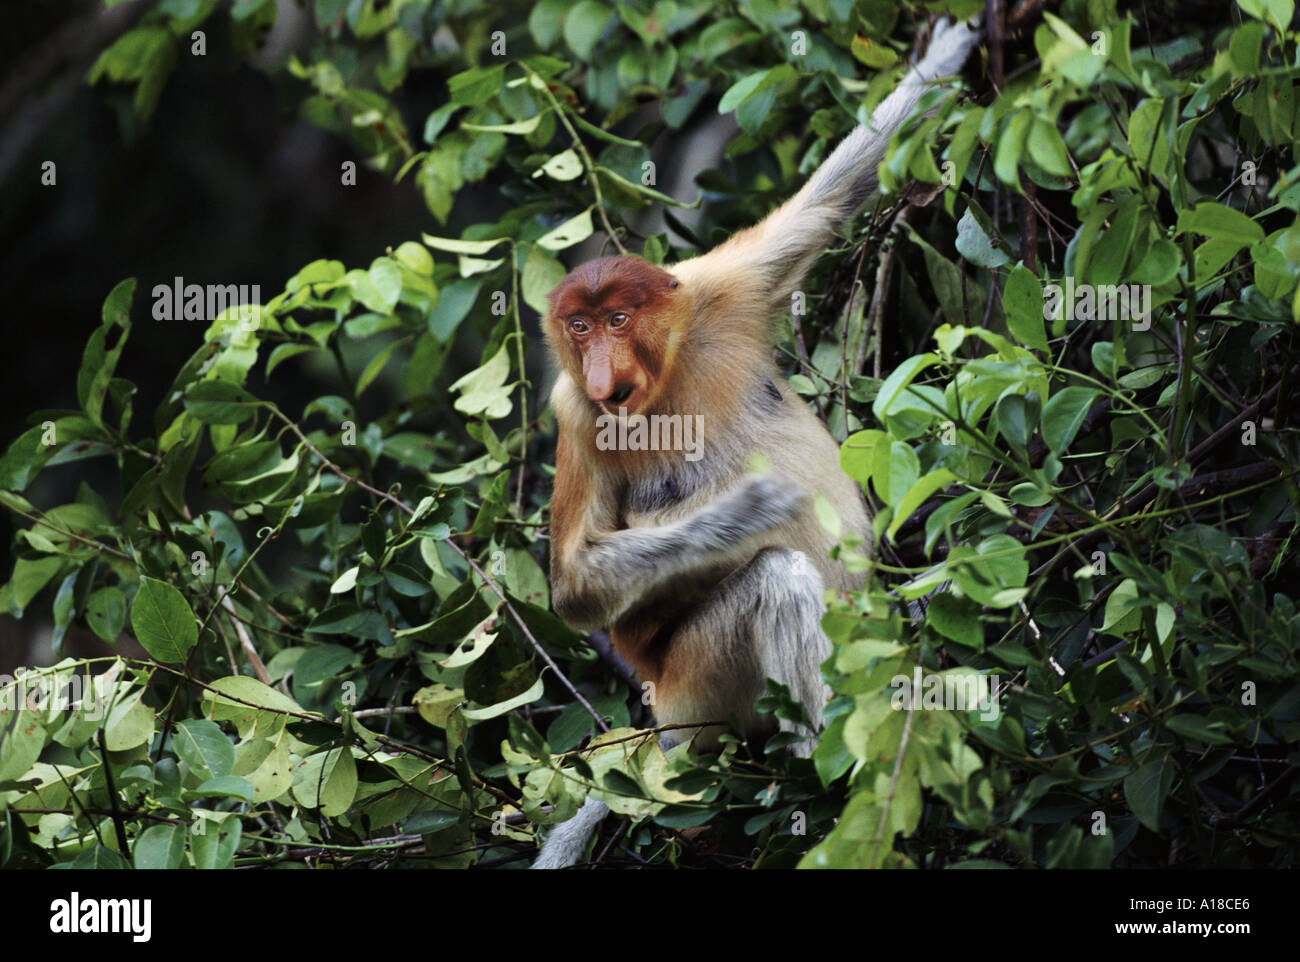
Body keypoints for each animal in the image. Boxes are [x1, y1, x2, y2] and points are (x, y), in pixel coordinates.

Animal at [531, 17, 981, 869]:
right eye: (578, 327)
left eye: (616, 319)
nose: (603, 370)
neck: (667, 374)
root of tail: (667, 719)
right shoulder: (574, 412)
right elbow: (574, 587)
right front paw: (743, 509)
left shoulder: (717, 289)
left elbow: (819, 209)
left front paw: (949, 54)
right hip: (703, 687)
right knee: (780, 579)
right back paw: (823, 769)